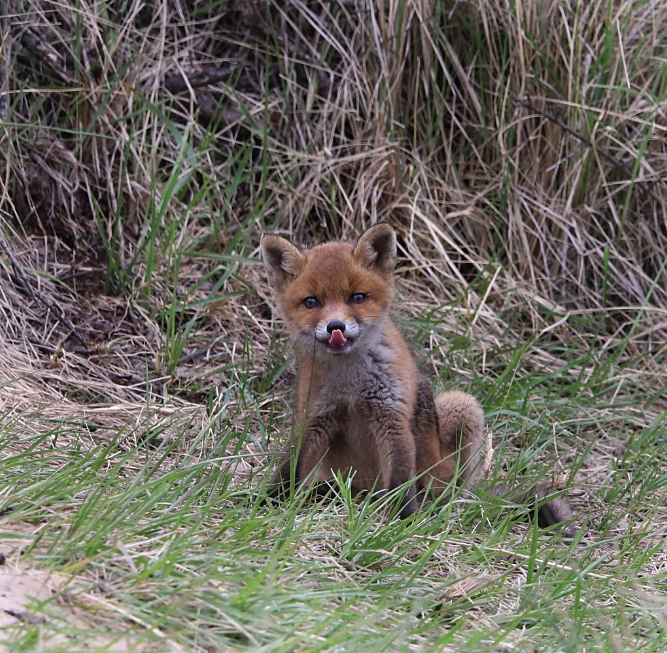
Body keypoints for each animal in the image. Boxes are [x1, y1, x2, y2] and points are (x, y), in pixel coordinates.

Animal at [261, 223, 573, 527]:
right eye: (311, 302)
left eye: (357, 297)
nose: (335, 326)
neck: (352, 386)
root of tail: (367, 493)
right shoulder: (315, 416)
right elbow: (290, 466)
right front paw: (268, 502)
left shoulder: (392, 417)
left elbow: (401, 479)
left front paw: (403, 520)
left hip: (459, 408)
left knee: (449, 491)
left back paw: (435, 506)